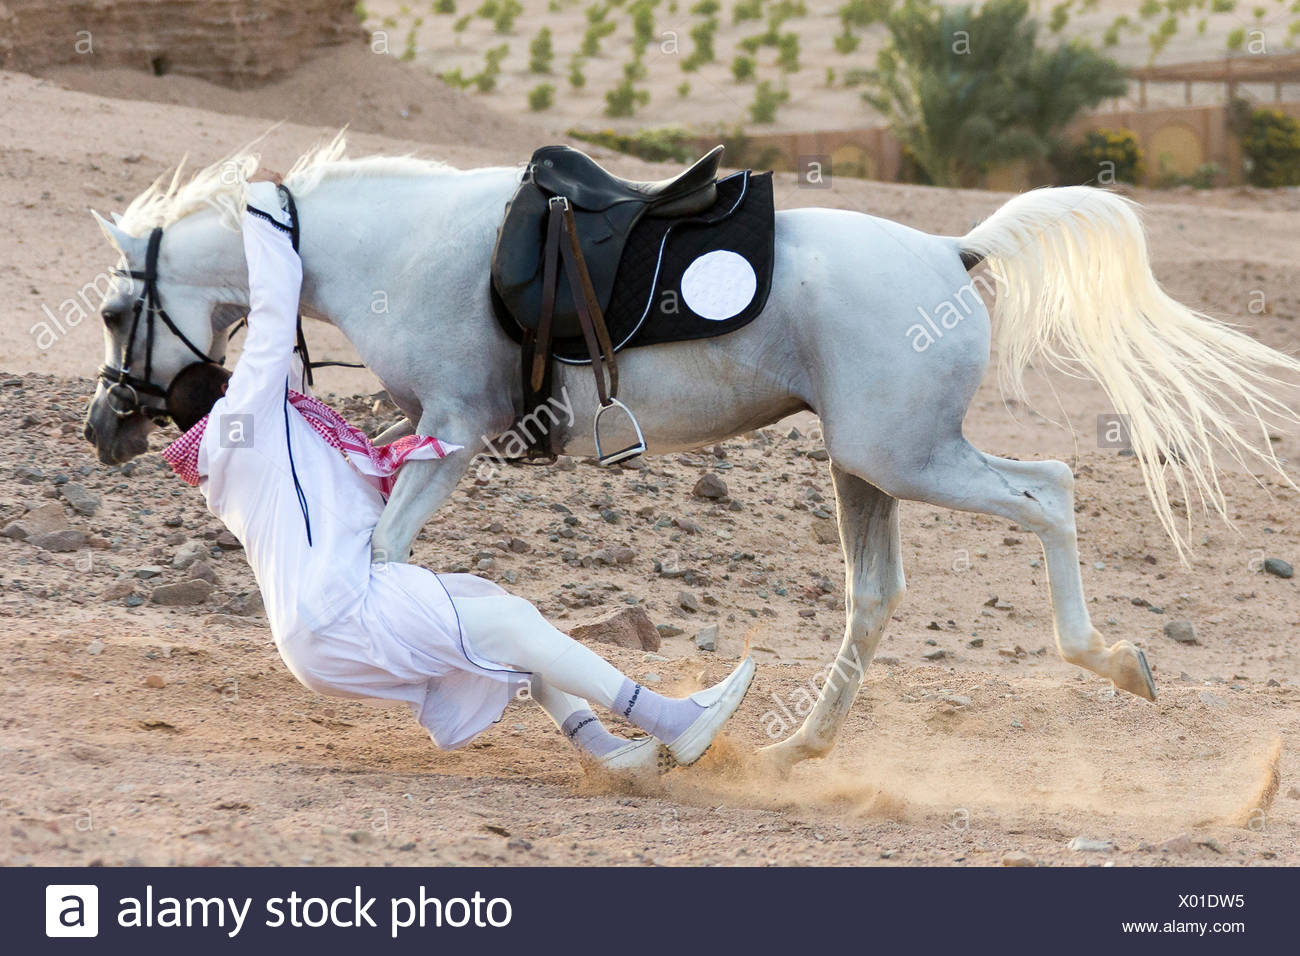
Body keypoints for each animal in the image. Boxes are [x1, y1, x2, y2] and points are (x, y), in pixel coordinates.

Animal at [82, 136, 1300, 770]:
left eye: (112, 313)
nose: (106, 429)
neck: (402, 247)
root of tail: (954, 253)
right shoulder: (428, 435)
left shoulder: (460, 432)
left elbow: (384, 558)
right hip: (867, 468)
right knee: (876, 593)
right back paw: (799, 744)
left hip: (911, 459)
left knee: (1048, 492)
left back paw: (1112, 660)